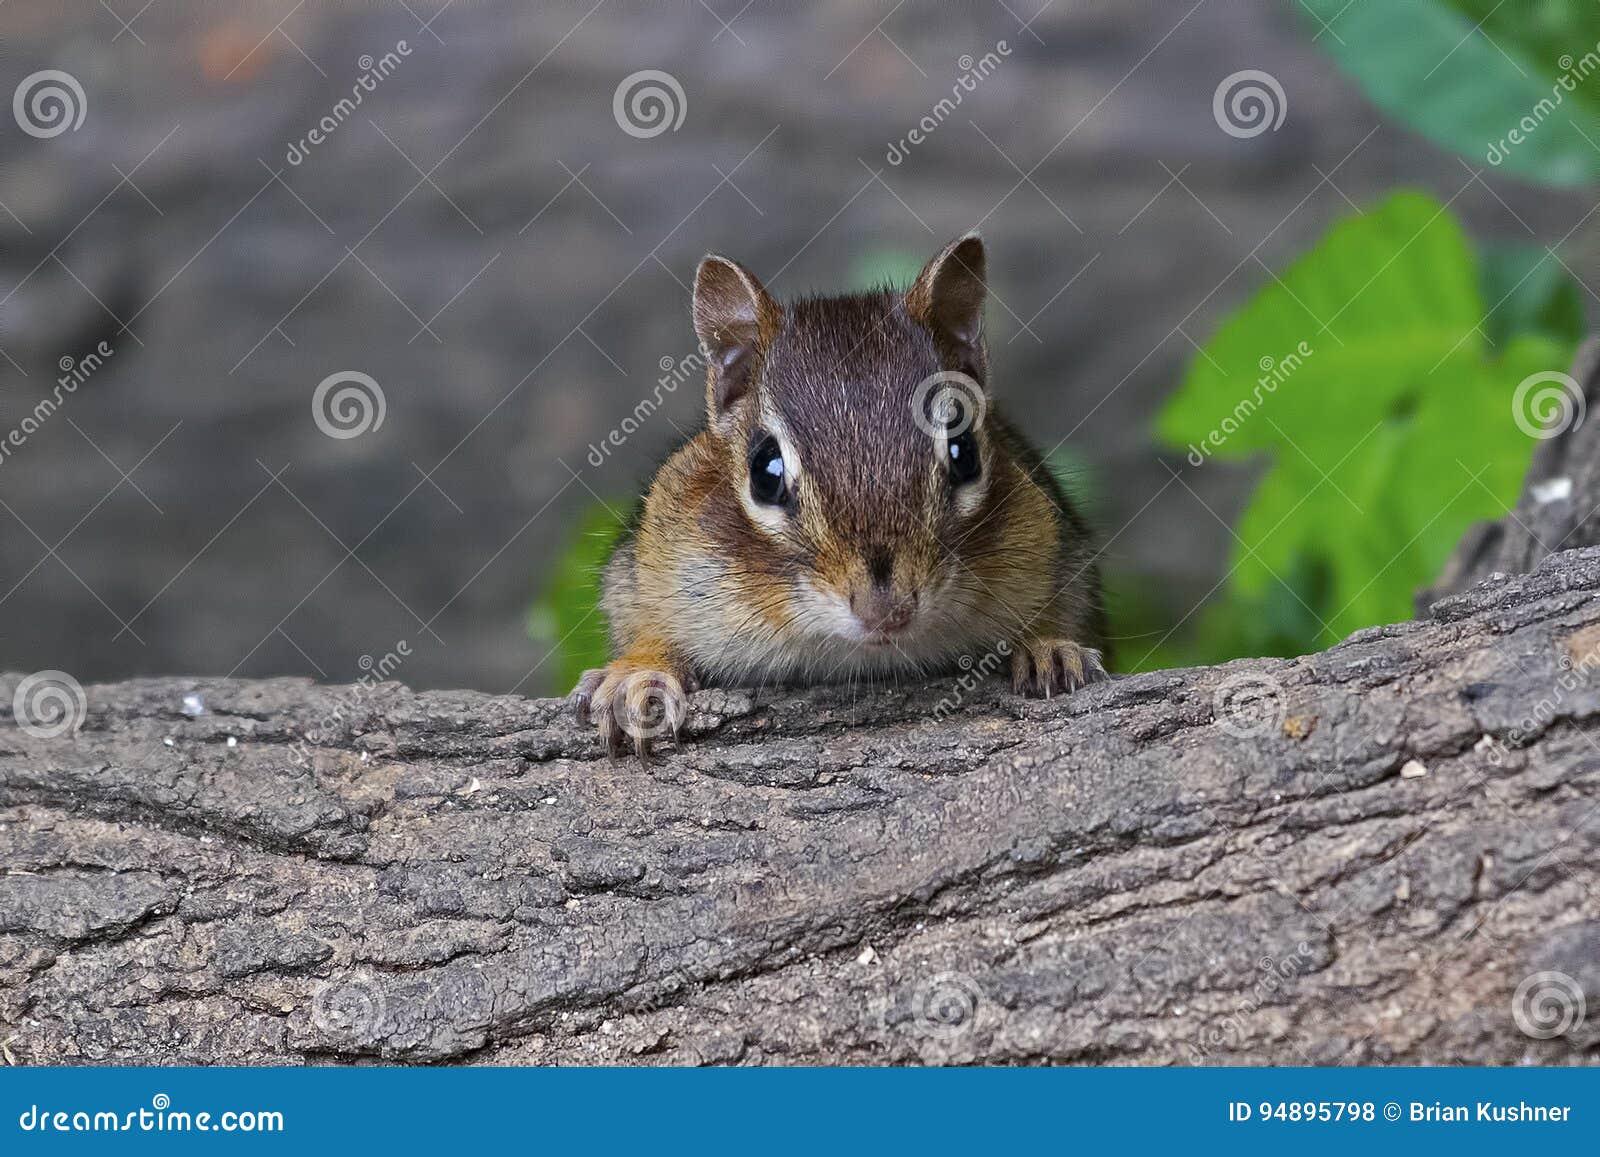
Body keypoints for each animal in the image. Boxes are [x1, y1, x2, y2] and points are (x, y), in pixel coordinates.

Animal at [573, 234, 1108, 757]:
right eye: (765, 472)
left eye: (964, 454)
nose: (886, 611)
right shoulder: (652, 556)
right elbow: (640, 619)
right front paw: (639, 673)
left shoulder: (1057, 543)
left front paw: (1047, 647)